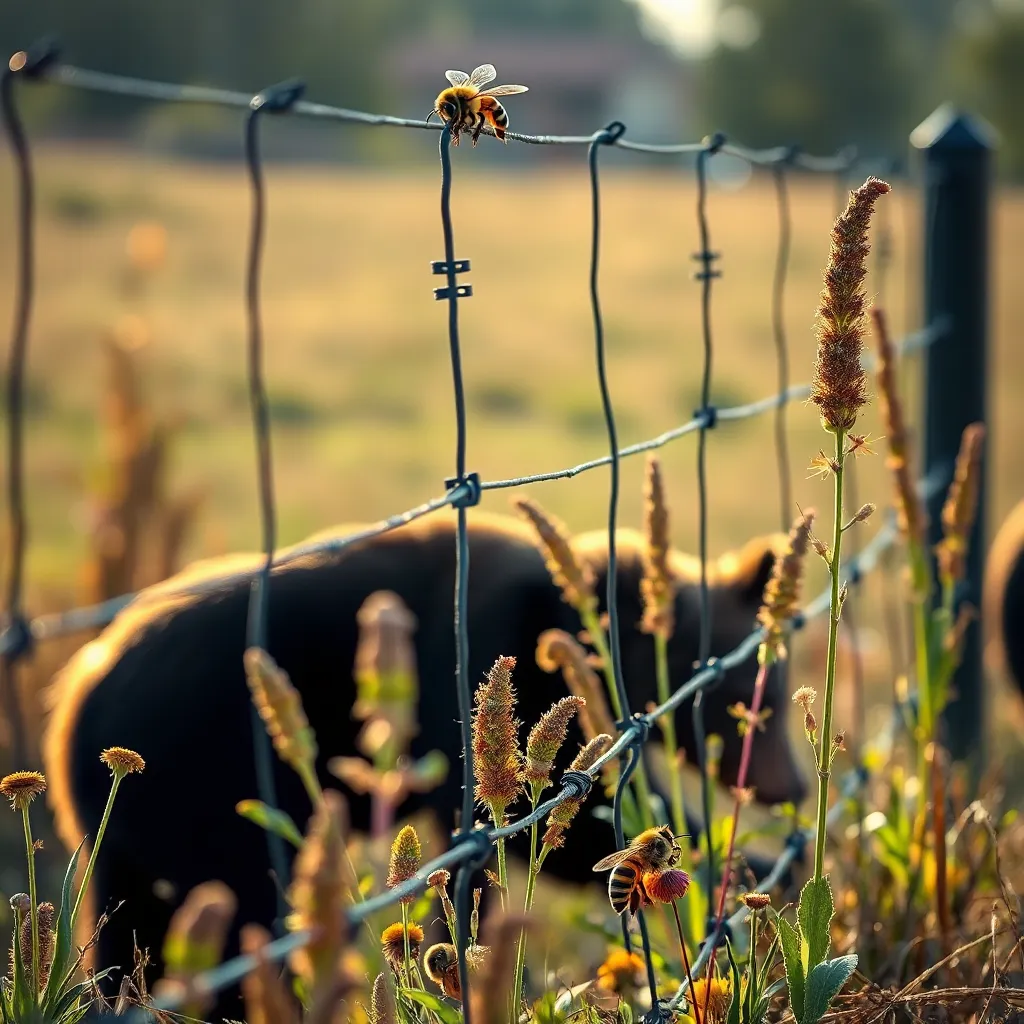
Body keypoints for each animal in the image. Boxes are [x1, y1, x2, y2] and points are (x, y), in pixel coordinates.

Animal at [43, 509, 806, 1018]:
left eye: (776, 674)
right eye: (745, 692)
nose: (794, 784)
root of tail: (71, 705)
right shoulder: (462, 670)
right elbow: (532, 826)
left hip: (136, 843)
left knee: (127, 932)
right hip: (204, 796)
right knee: (239, 913)